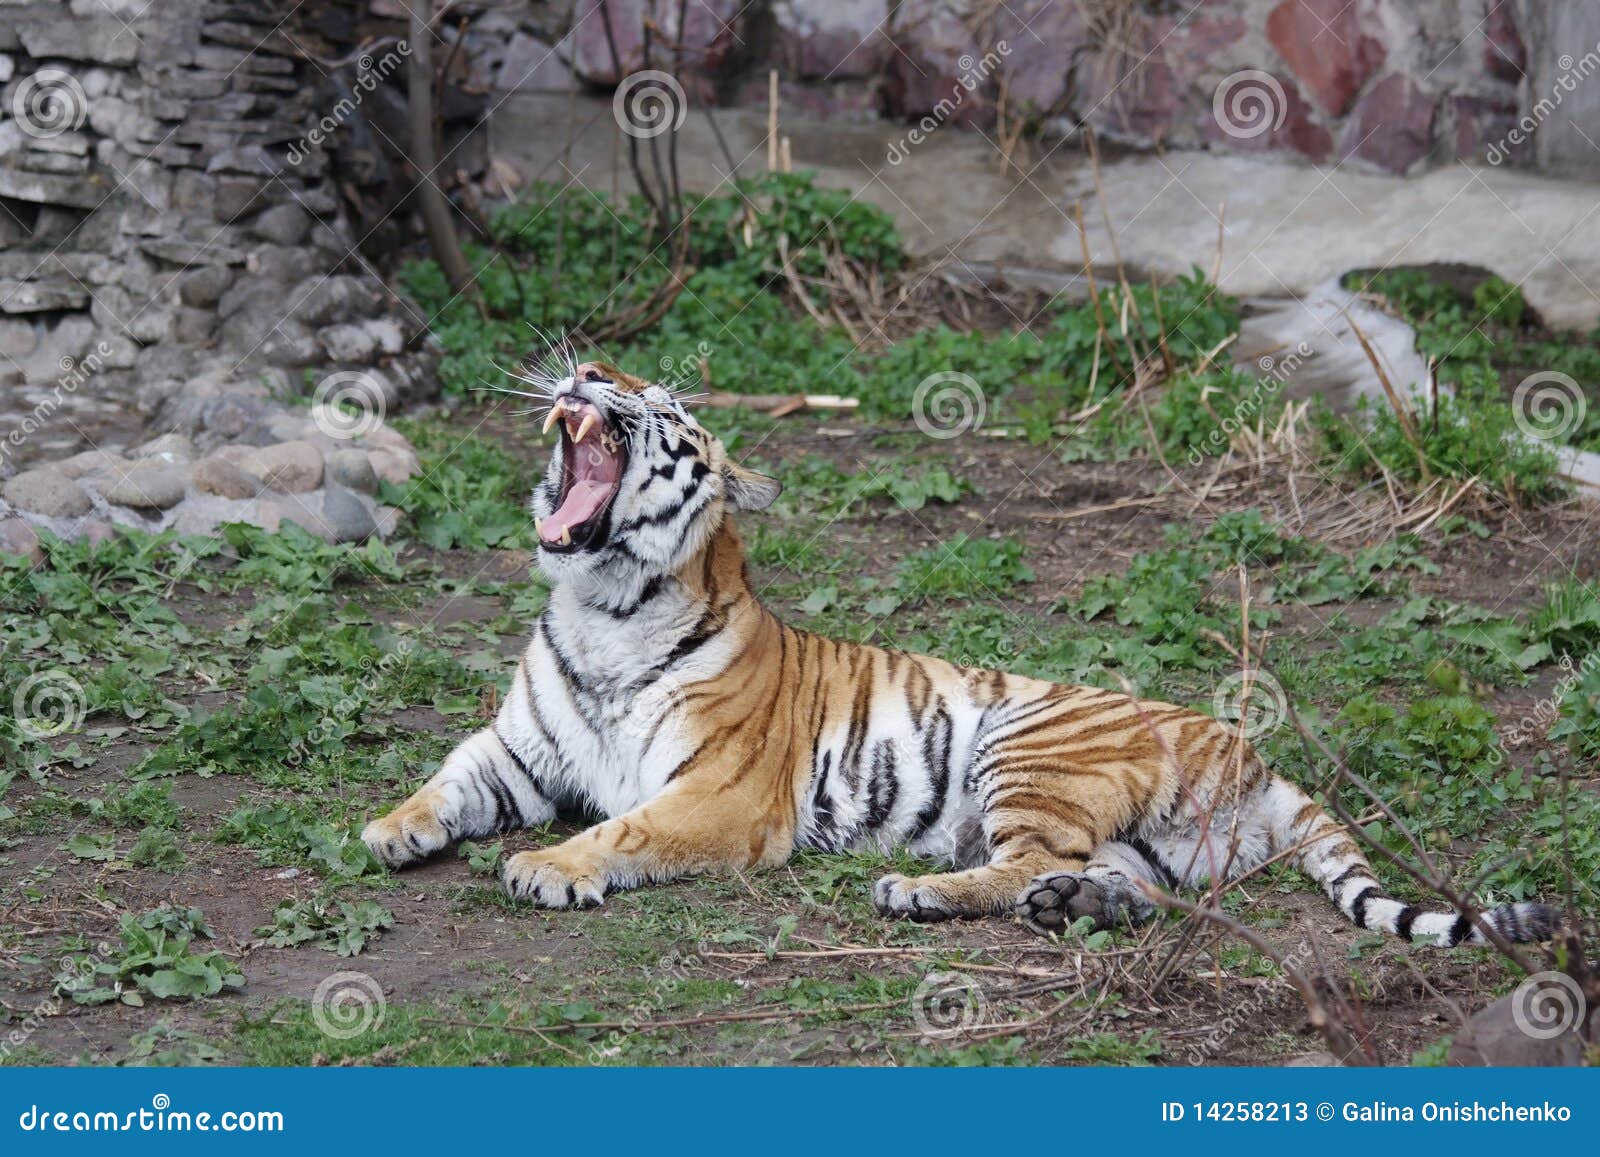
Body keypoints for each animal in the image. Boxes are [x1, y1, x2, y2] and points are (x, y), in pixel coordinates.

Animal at [361, 357, 1558, 948]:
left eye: (664, 405)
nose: (589, 371)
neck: (603, 605)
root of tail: (1252, 749)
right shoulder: (519, 748)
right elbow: (447, 775)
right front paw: (388, 829)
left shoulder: (721, 794)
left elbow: (625, 827)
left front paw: (550, 867)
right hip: (1135, 838)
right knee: (1115, 878)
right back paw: (1083, 910)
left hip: (1025, 747)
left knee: (1026, 858)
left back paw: (919, 893)